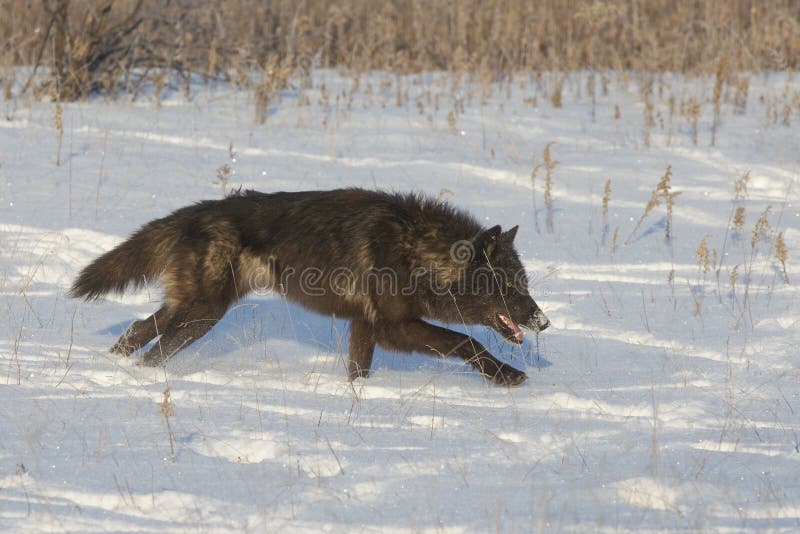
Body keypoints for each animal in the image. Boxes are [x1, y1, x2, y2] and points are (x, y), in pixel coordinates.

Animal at [70, 188, 550, 386]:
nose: (543, 321)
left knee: (136, 331)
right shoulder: (396, 328)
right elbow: (467, 342)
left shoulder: (366, 327)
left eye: (524, 284)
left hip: (188, 312)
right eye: (508, 286)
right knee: (153, 350)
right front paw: (507, 377)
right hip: (200, 317)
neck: (417, 251)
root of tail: (194, 212)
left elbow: (358, 373)